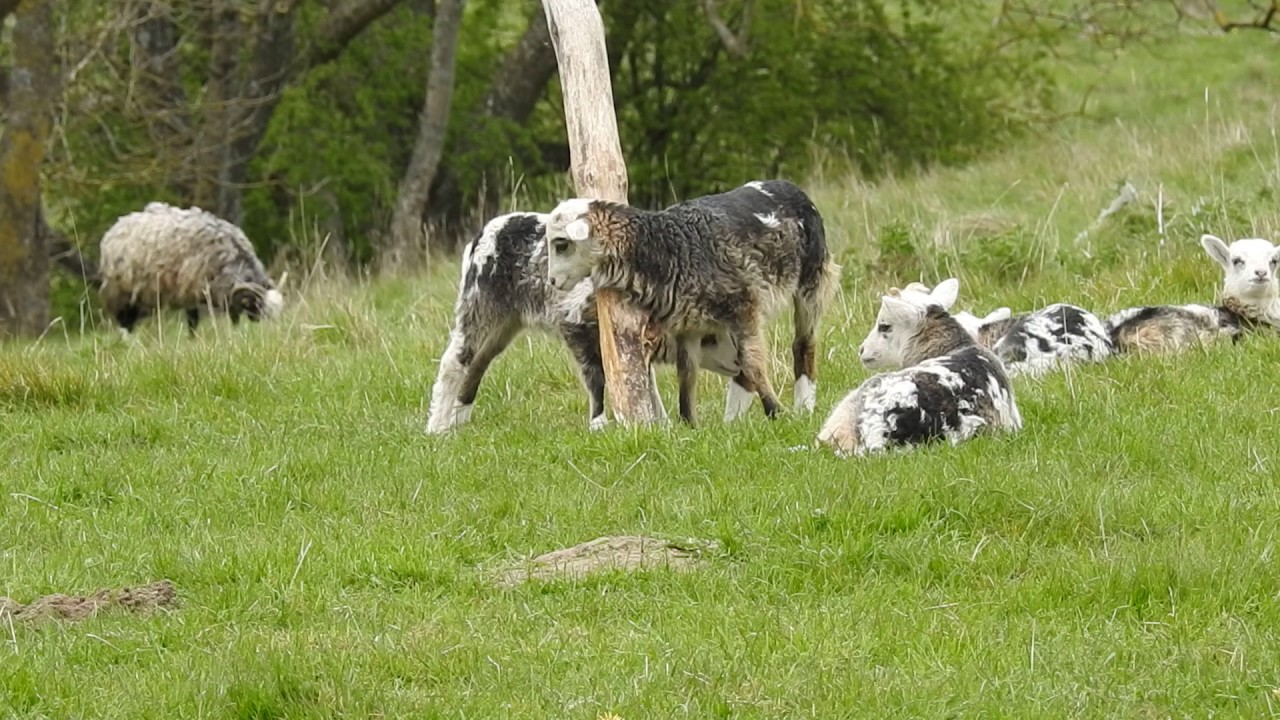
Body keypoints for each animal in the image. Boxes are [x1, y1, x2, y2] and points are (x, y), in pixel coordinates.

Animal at [99, 202, 284, 334]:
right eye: (258, 307)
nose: (270, 333)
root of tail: (117, 225)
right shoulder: (192, 291)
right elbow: (193, 321)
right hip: (122, 291)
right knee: (125, 322)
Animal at [425, 211, 744, 435]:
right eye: (712, 338)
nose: (739, 366)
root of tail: (484, 233)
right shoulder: (576, 323)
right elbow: (597, 375)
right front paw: (599, 423)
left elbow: (640, 376)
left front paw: (660, 424)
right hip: (479, 302)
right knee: (455, 360)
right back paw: (437, 428)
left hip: (507, 321)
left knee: (479, 361)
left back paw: (458, 418)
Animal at [544, 179, 840, 426]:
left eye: (561, 244)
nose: (552, 281)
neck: (664, 245)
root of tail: (789, 186)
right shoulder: (688, 325)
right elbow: (686, 375)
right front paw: (689, 424)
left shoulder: (743, 307)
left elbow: (753, 363)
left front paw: (775, 411)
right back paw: (733, 421)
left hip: (812, 280)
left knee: (802, 345)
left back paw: (803, 406)